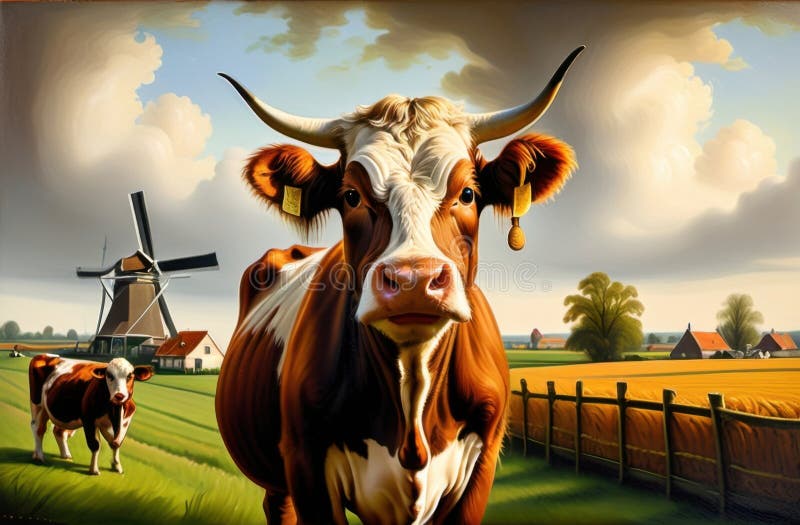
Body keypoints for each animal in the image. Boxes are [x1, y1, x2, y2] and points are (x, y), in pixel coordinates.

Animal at [216, 46, 584, 524]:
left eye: (468, 194)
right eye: (351, 196)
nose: (414, 279)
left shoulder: (481, 467)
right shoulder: (304, 463)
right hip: (278, 477)